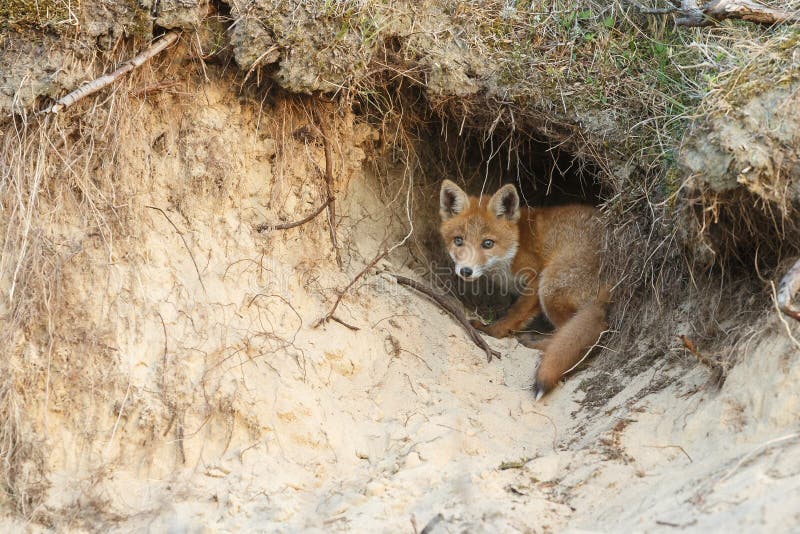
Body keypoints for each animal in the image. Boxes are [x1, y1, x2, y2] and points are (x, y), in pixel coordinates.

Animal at [439, 179, 609, 400]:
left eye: (487, 243)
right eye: (458, 240)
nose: (466, 271)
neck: (514, 248)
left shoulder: (534, 278)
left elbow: (514, 314)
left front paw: (490, 330)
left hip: (550, 287)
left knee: (572, 332)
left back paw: (535, 341)